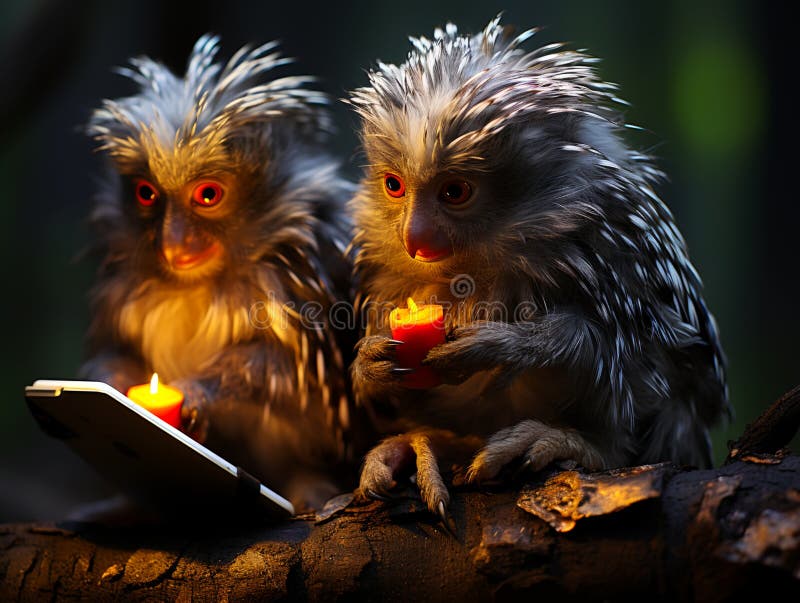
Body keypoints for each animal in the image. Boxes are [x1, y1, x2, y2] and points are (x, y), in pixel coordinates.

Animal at [80, 35, 356, 512]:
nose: (173, 243)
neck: (199, 286)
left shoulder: (307, 279)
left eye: (208, 195)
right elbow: (118, 352)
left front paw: (199, 392)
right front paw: (111, 383)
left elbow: (278, 373)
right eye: (146, 194)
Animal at [347, 17, 730, 517]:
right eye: (394, 186)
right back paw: (420, 445)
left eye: (454, 192)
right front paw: (369, 364)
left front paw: (504, 347)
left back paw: (570, 443)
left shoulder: (619, 259)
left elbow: (607, 347)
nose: (414, 237)